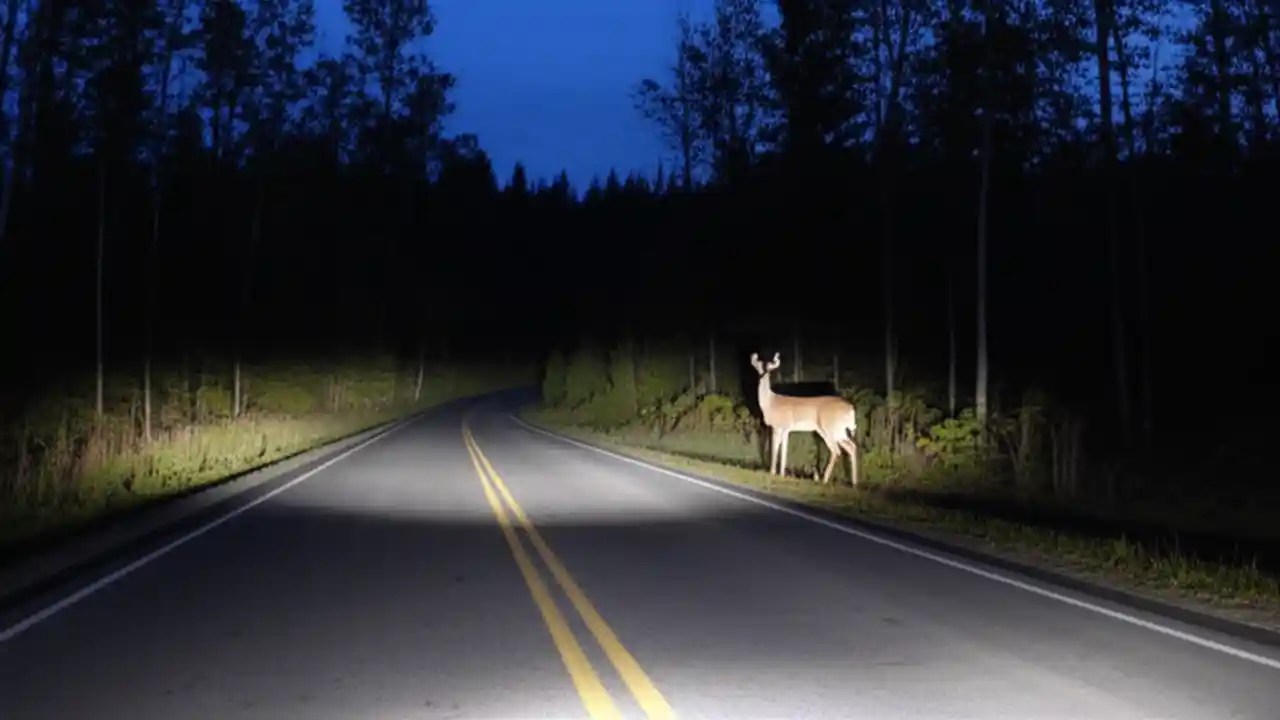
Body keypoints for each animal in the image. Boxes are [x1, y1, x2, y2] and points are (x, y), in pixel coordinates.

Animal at [750, 352, 860, 486]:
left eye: (770, 368)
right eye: (759, 366)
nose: (763, 374)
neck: (770, 403)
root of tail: (850, 409)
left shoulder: (777, 426)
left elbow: (775, 448)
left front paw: (772, 472)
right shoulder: (786, 429)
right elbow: (784, 450)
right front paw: (781, 474)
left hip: (829, 428)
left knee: (836, 450)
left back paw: (824, 479)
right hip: (839, 431)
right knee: (851, 447)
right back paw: (854, 483)